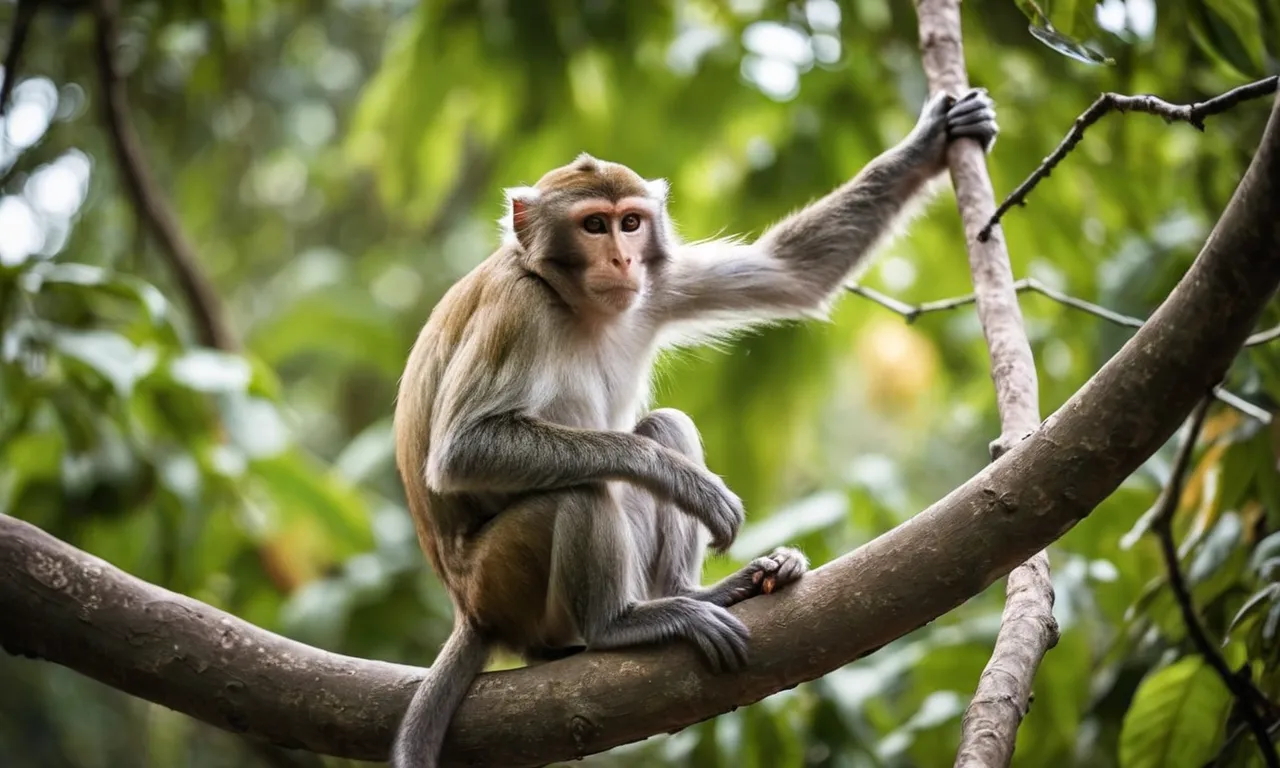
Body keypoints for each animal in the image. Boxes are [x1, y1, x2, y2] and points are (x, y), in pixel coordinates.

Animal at [390, 87, 998, 767]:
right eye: (593, 225)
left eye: (630, 222)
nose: (622, 258)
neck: (572, 301)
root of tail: (467, 609)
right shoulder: (518, 308)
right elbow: (462, 451)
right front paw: (691, 485)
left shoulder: (655, 283)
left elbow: (792, 272)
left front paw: (935, 138)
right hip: (500, 580)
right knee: (583, 487)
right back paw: (620, 624)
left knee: (664, 425)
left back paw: (699, 593)